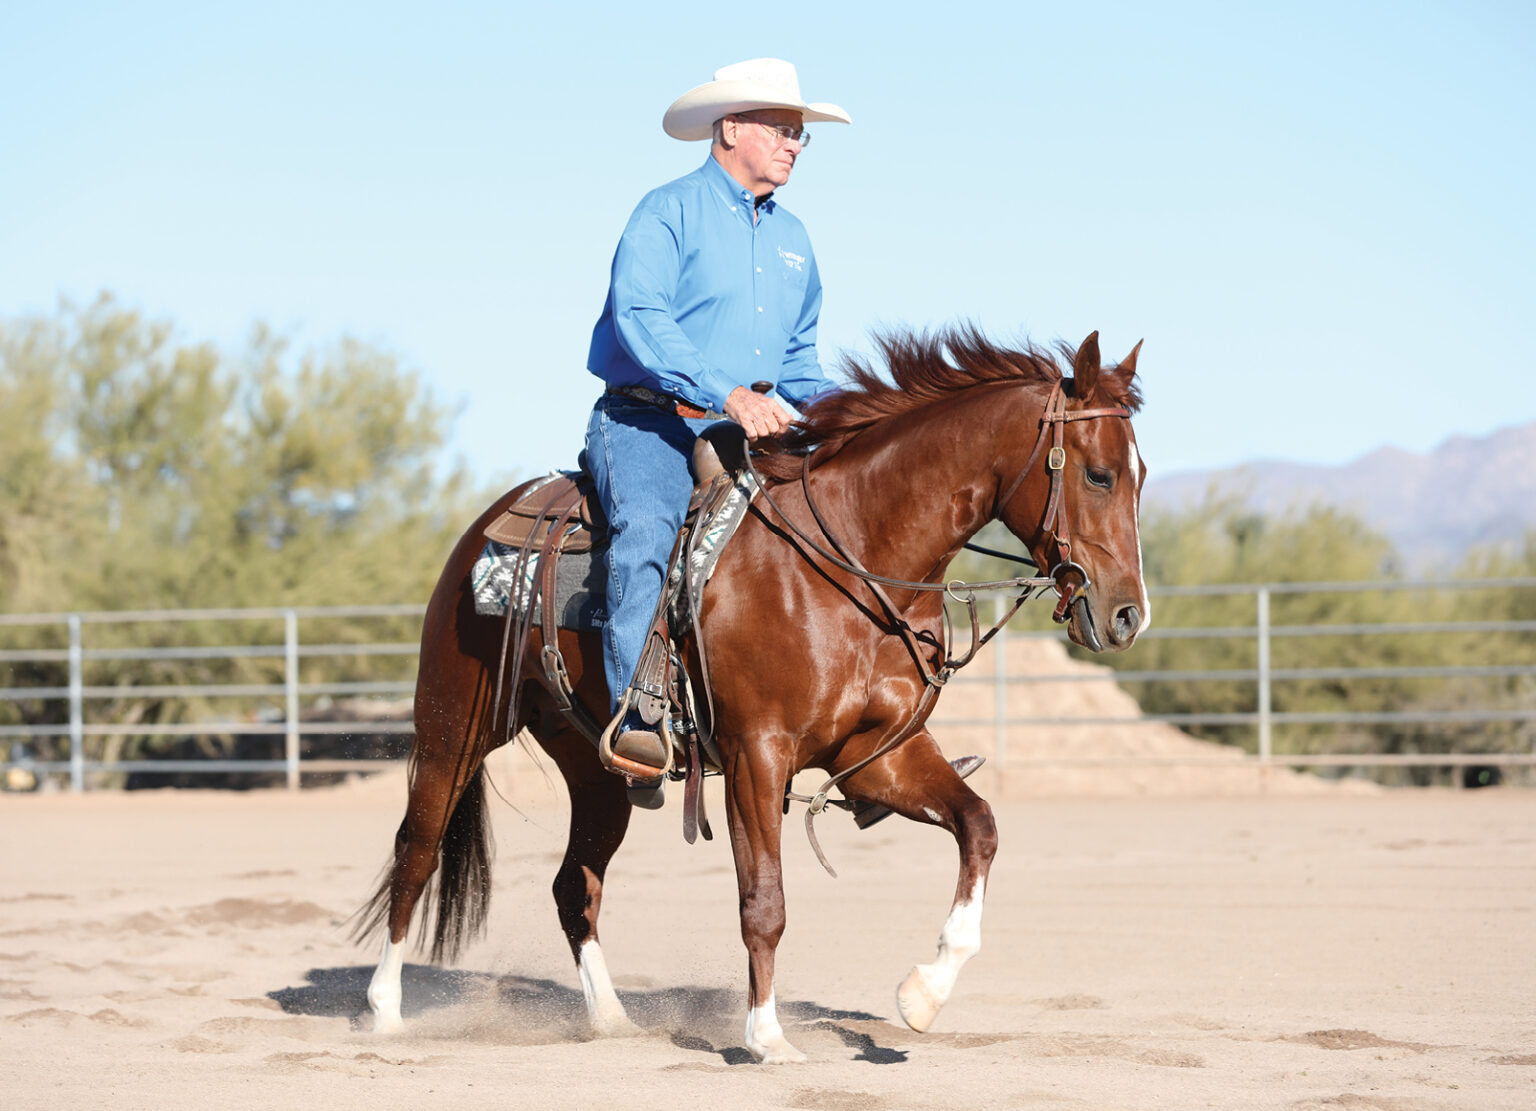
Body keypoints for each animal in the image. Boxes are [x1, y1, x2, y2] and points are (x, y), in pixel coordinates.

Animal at [355, 326, 1149, 1062]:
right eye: (1100, 474)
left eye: (1139, 474)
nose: (1127, 615)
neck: (855, 560)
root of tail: (497, 519)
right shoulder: (755, 756)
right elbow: (764, 900)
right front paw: (767, 1036)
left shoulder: (879, 755)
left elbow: (979, 826)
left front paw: (924, 992)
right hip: (453, 728)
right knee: (416, 850)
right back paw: (385, 1011)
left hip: (599, 771)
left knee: (573, 886)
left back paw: (610, 1018)